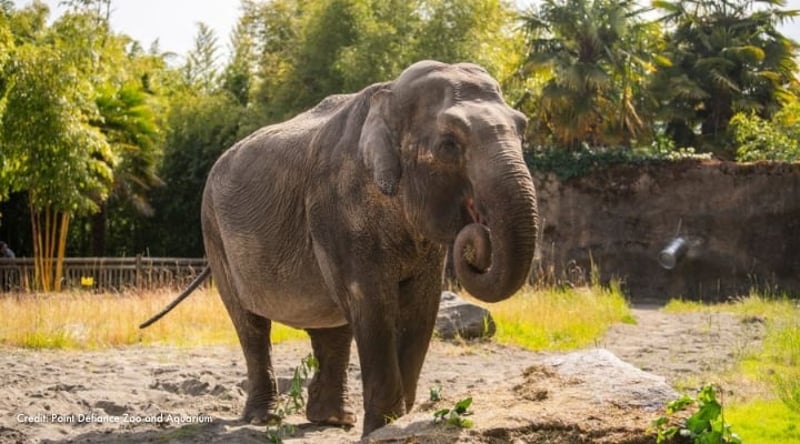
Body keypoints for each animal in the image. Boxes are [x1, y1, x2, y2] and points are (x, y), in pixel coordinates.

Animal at [141, 60, 538, 436]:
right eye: (449, 145)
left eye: (522, 129)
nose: (477, 235)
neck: (389, 94)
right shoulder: (336, 209)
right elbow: (373, 304)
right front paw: (383, 428)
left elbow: (421, 309)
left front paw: (398, 424)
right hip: (214, 233)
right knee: (251, 324)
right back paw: (265, 417)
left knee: (331, 325)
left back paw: (332, 420)